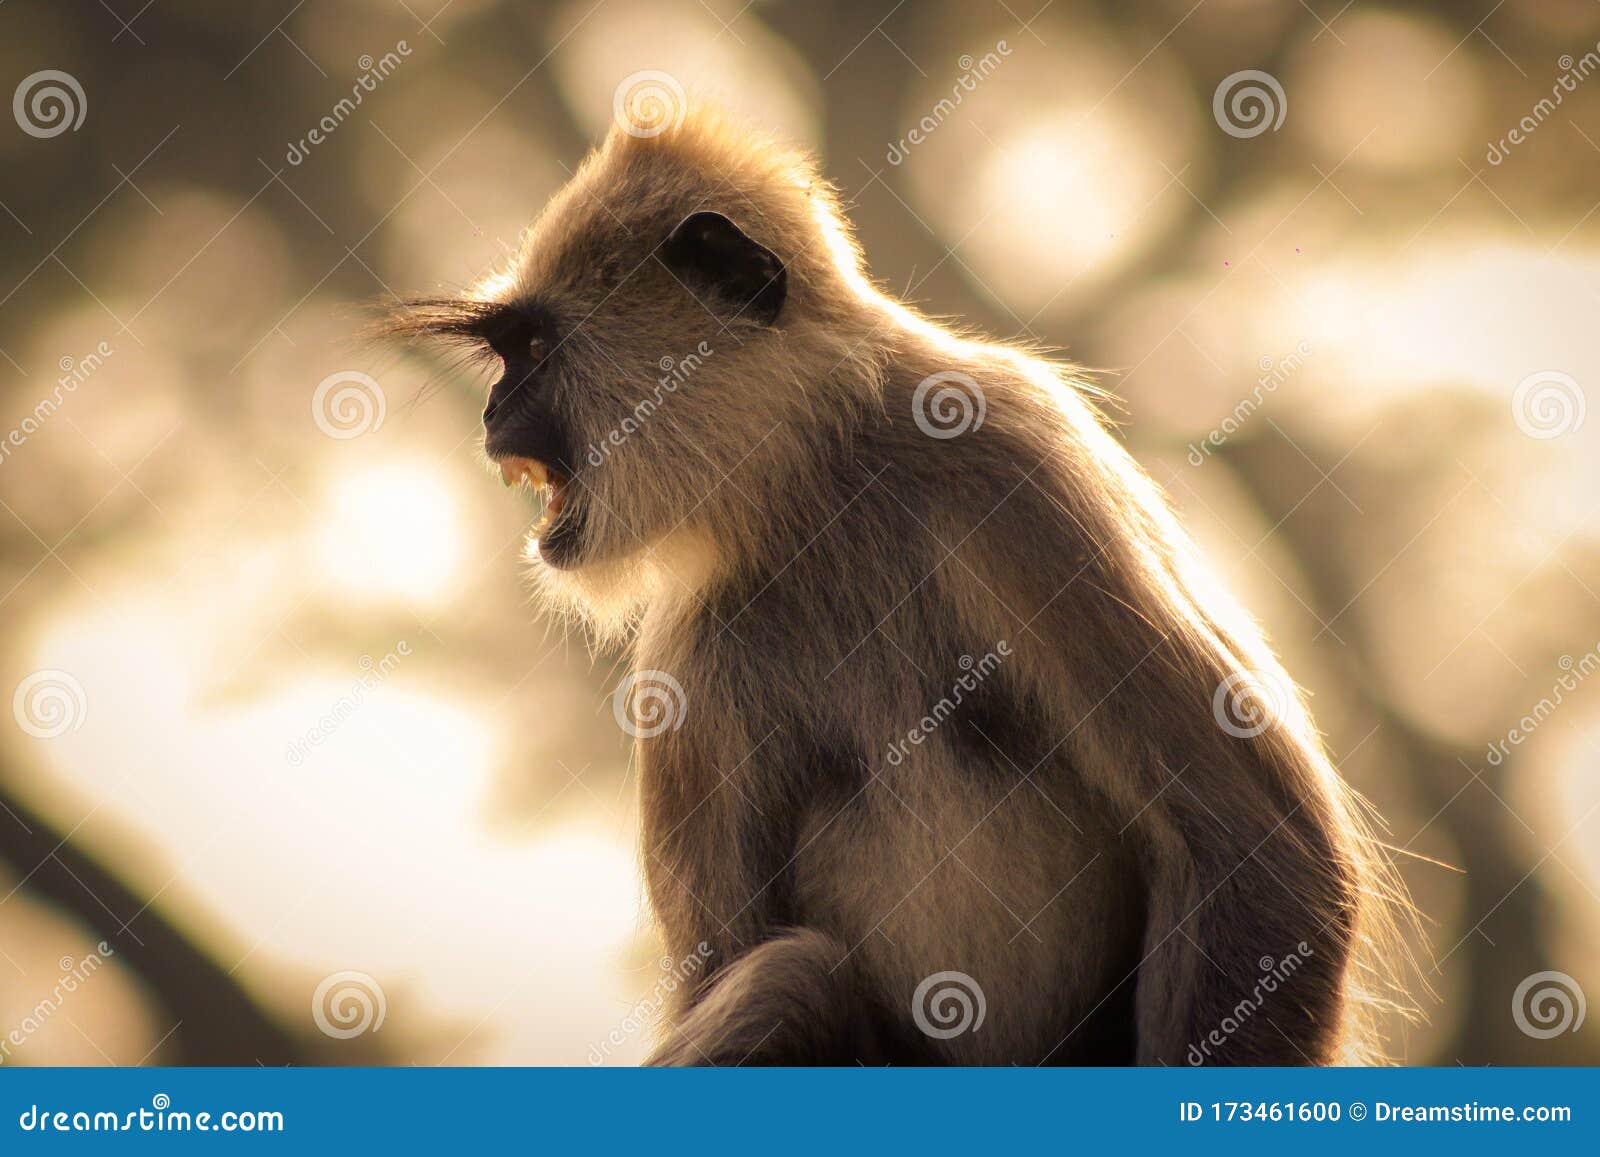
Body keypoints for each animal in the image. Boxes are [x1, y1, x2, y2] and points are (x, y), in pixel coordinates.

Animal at [381, 107, 1407, 1066]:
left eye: (532, 350)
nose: (493, 414)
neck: (817, 484)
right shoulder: (687, 652)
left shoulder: (1007, 459)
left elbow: (1262, 857)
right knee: (790, 981)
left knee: (790, 979)